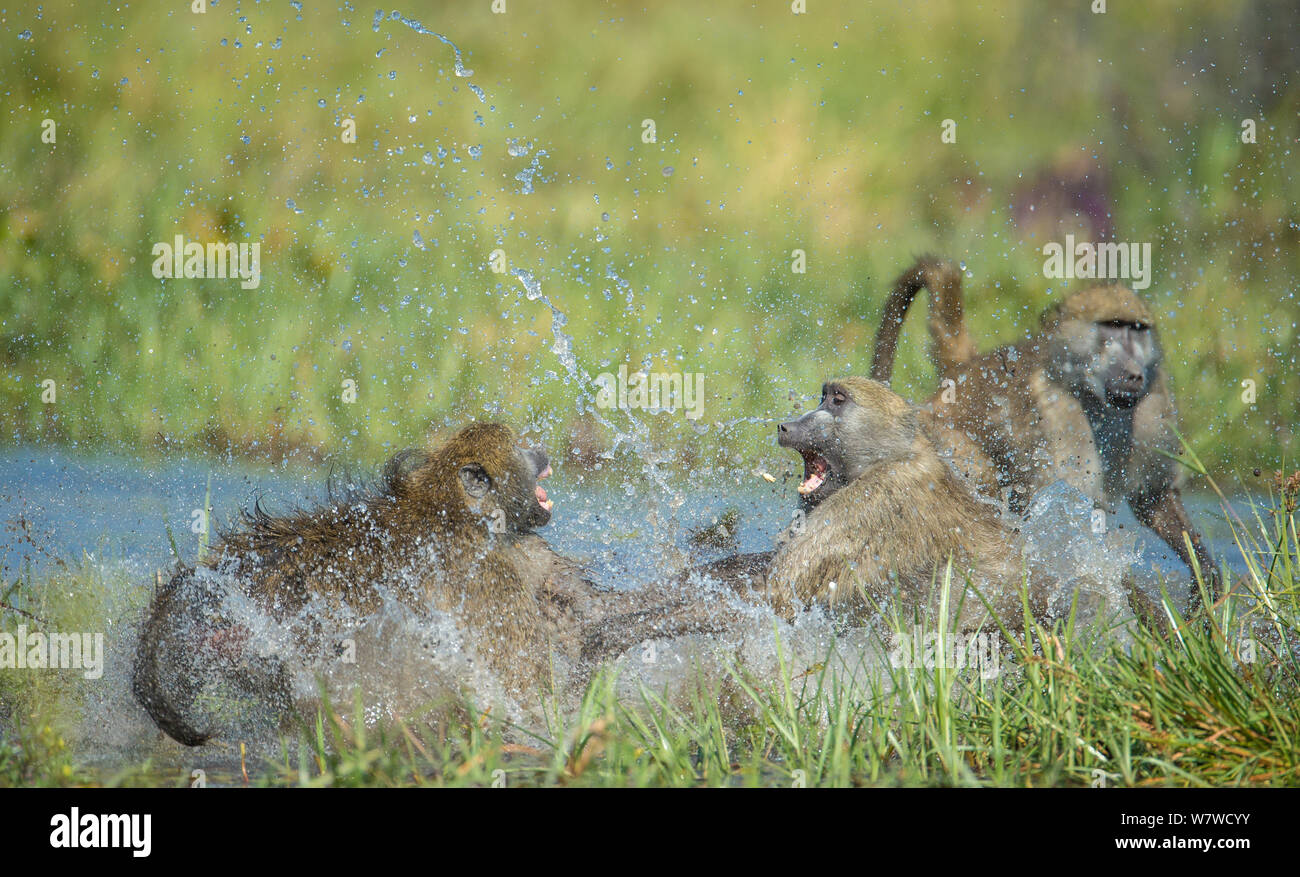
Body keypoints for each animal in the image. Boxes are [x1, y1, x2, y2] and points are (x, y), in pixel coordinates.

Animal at [869, 256, 1219, 607]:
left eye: (1137, 330)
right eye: (1111, 327)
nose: (1133, 374)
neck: (1088, 396)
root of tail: (965, 371)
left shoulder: (1152, 414)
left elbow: (1153, 499)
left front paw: (1207, 585)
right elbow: (1061, 535)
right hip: (944, 435)